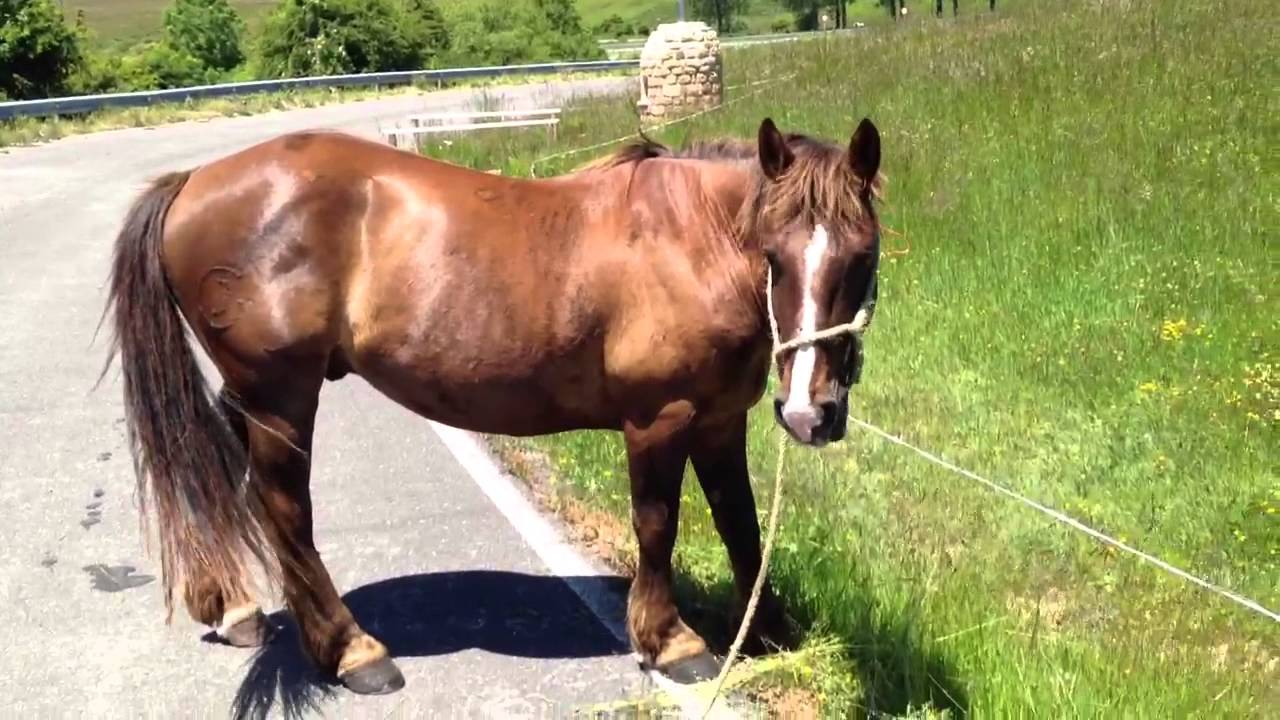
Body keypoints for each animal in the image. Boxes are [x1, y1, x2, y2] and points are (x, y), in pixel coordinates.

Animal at [99, 114, 884, 694]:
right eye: (774, 256)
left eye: (864, 256)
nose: (811, 413)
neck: (692, 242)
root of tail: (194, 182)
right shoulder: (658, 420)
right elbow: (658, 524)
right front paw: (672, 642)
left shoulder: (721, 419)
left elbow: (739, 522)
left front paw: (768, 630)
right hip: (281, 399)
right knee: (284, 509)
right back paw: (353, 651)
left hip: (255, 397)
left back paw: (232, 605)